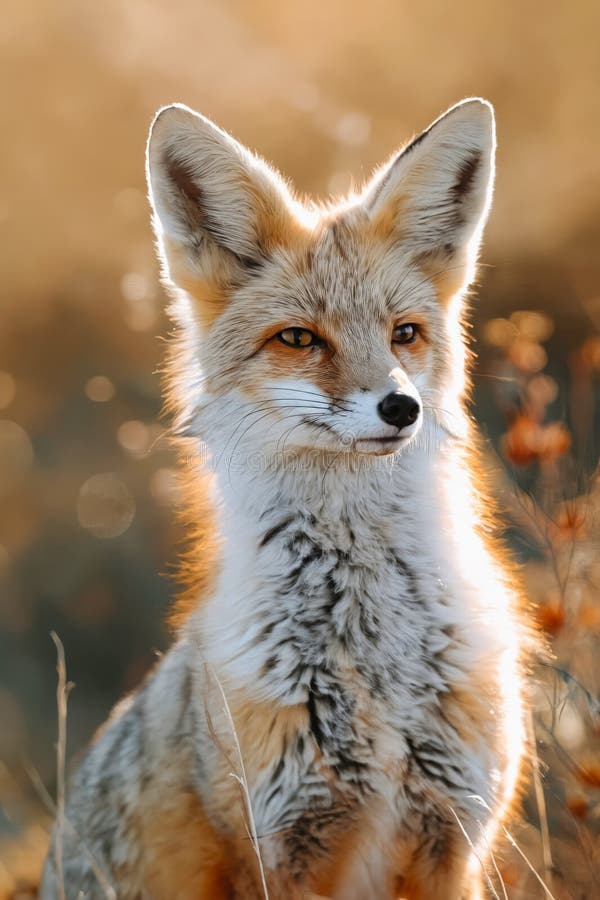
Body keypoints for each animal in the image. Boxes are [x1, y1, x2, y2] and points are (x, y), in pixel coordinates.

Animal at [41, 98, 535, 899]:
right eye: (299, 339)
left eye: (404, 334)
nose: (400, 407)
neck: (373, 659)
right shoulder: (279, 846)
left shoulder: (455, 835)